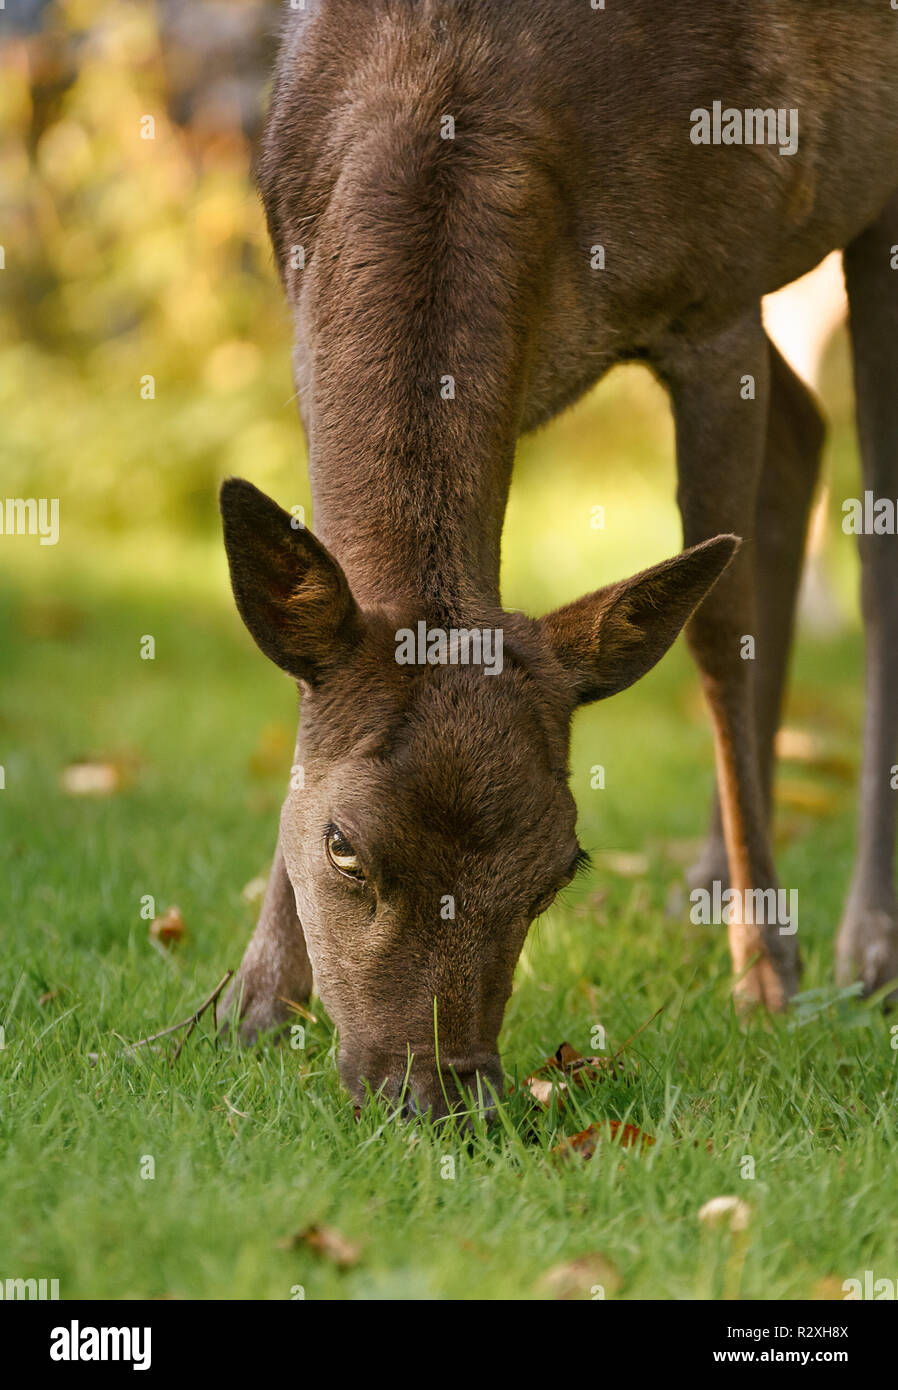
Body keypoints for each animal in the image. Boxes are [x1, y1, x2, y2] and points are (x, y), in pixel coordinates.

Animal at [217, 0, 898, 1119]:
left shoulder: (717, 295)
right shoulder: (298, 312)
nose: (437, 1093)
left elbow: (718, 631)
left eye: (561, 868)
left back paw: (858, 947)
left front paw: (767, 979)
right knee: (805, 428)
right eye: (343, 845)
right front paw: (252, 1003)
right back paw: (704, 885)